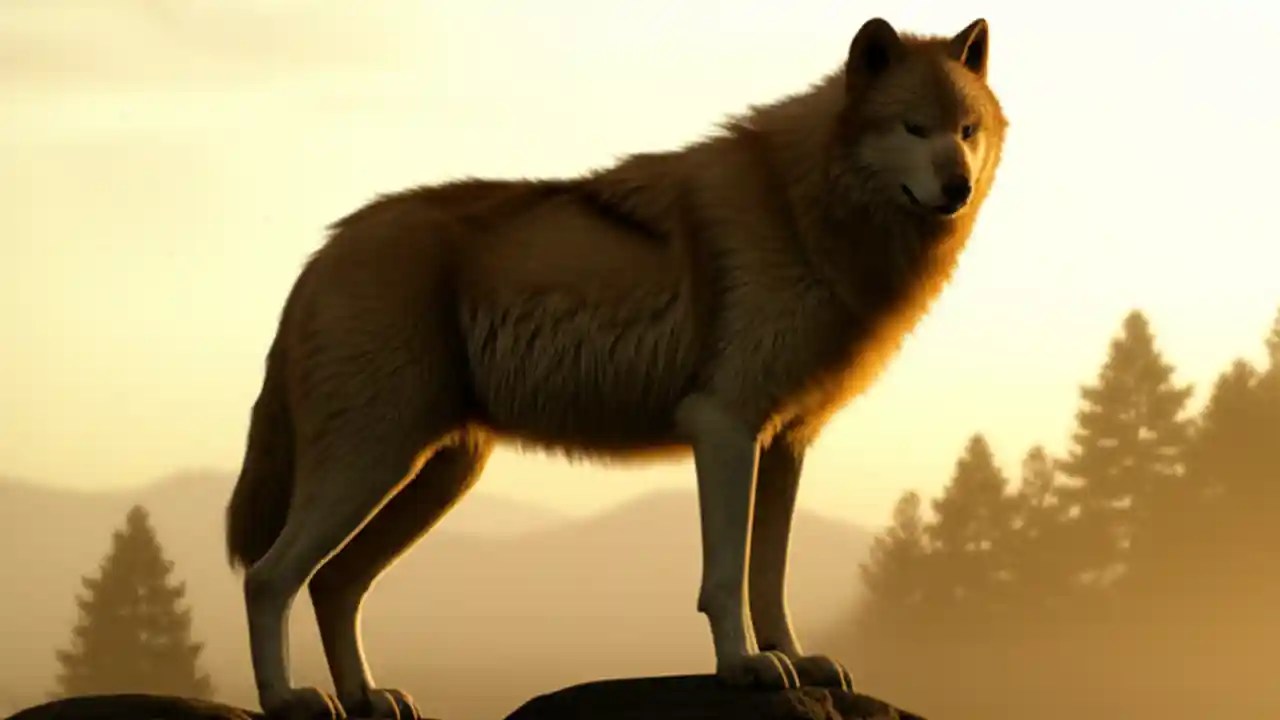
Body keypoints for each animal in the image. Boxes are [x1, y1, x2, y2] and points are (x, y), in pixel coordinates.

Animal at [225, 16, 1006, 720]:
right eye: (913, 128)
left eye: (966, 131)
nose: (957, 187)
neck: (800, 208)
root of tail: (322, 254)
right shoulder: (724, 427)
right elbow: (727, 576)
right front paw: (744, 666)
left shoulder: (785, 442)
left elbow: (770, 575)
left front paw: (794, 657)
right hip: (374, 463)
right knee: (269, 577)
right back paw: (288, 700)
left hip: (436, 475)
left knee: (335, 583)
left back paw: (366, 697)